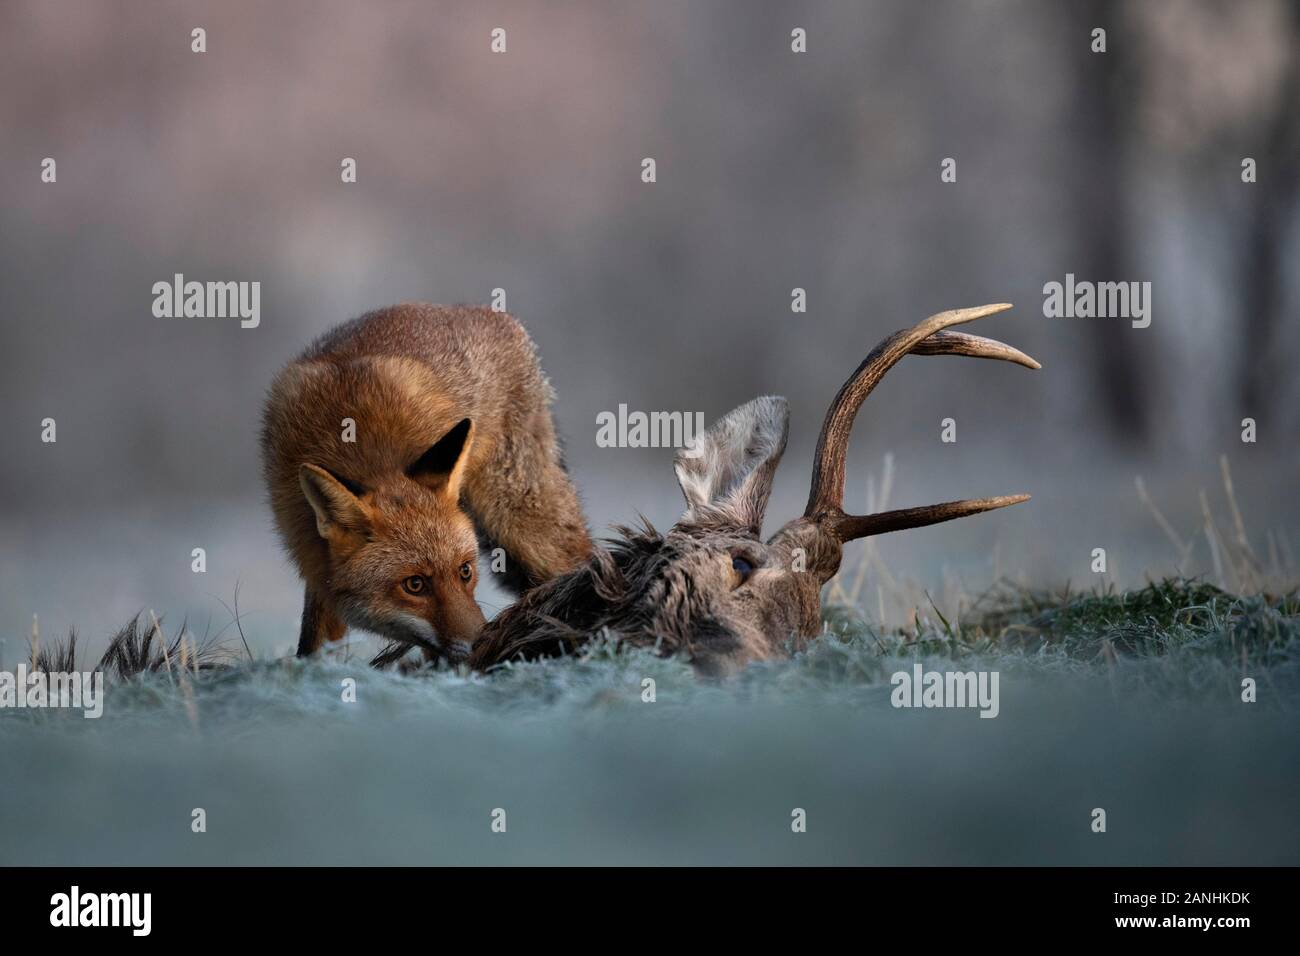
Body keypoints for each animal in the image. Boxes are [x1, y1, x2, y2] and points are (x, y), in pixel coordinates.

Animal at [260, 303, 593, 660]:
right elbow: (315, 645)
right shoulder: (314, 558)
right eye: (414, 585)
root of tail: (491, 314)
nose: (481, 645)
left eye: (465, 571)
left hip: (523, 522)